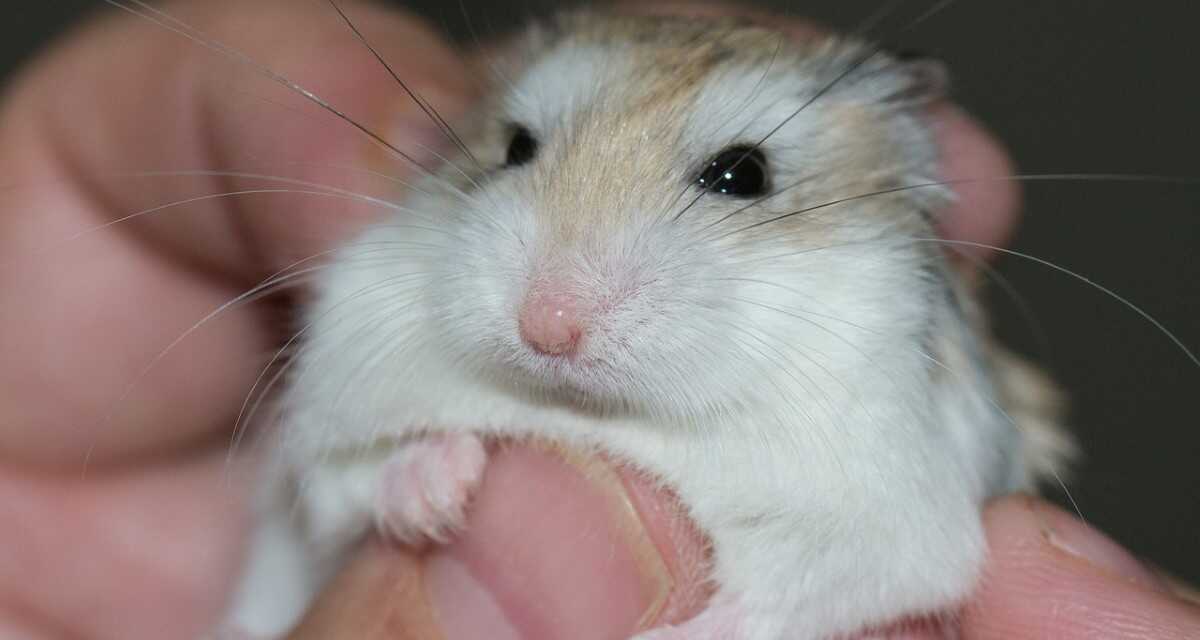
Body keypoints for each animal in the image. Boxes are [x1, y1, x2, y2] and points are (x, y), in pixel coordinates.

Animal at [223, 9, 1074, 639]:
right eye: (514, 147)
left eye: (743, 174)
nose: (548, 326)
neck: (605, 415)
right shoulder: (327, 431)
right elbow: (350, 479)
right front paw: (442, 485)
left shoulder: (892, 519)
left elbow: (801, 592)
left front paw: (670, 632)